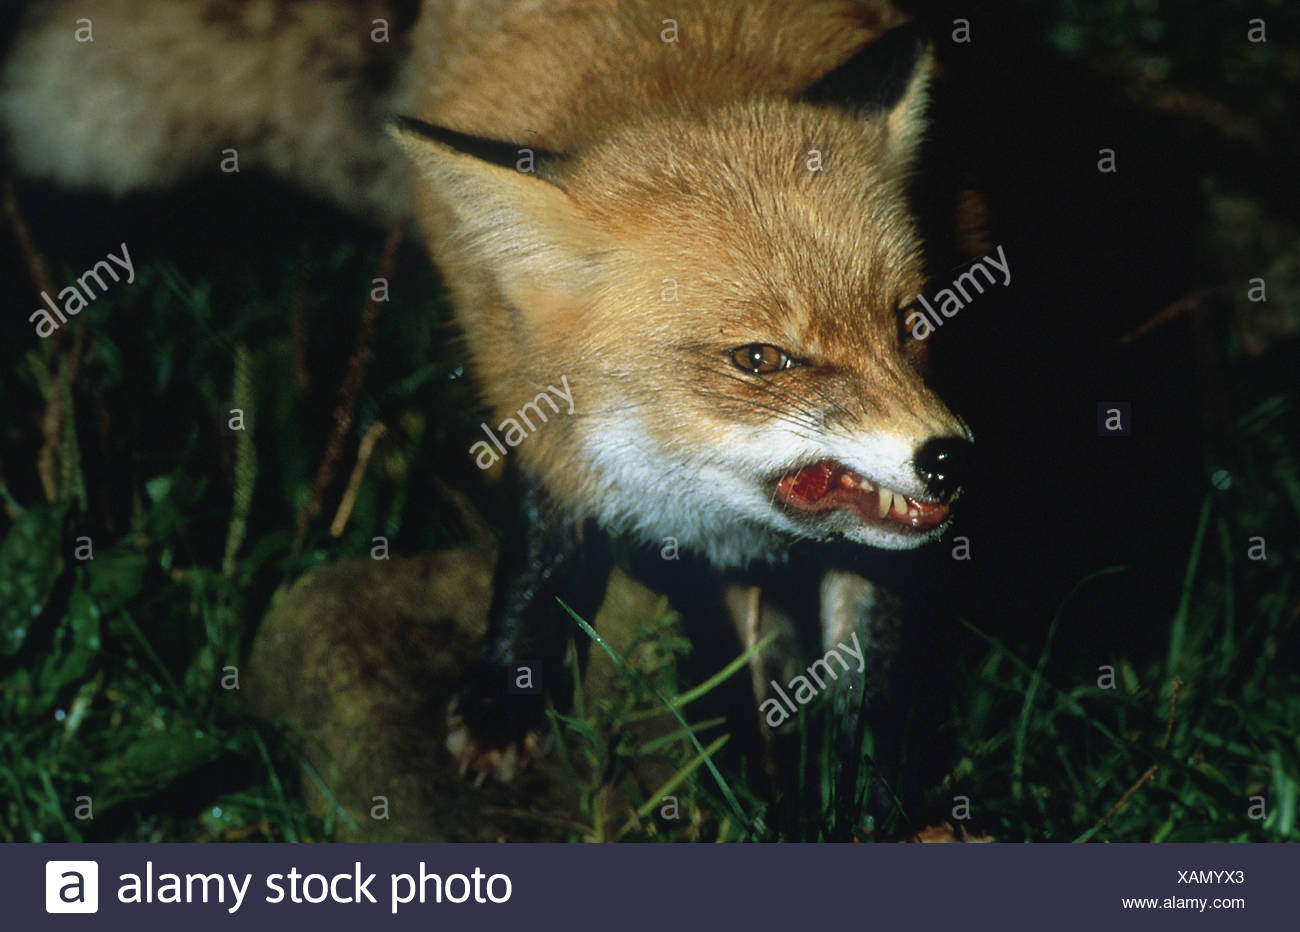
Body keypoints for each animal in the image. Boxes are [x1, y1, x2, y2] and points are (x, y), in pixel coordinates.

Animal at [2, 0, 975, 800]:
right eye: (762, 358)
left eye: (909, 321)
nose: (948, 457)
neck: (685, 62)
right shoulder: (534, 402)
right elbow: (557, 543)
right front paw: (517, 688)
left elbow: (873, 661)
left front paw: (858, 791)